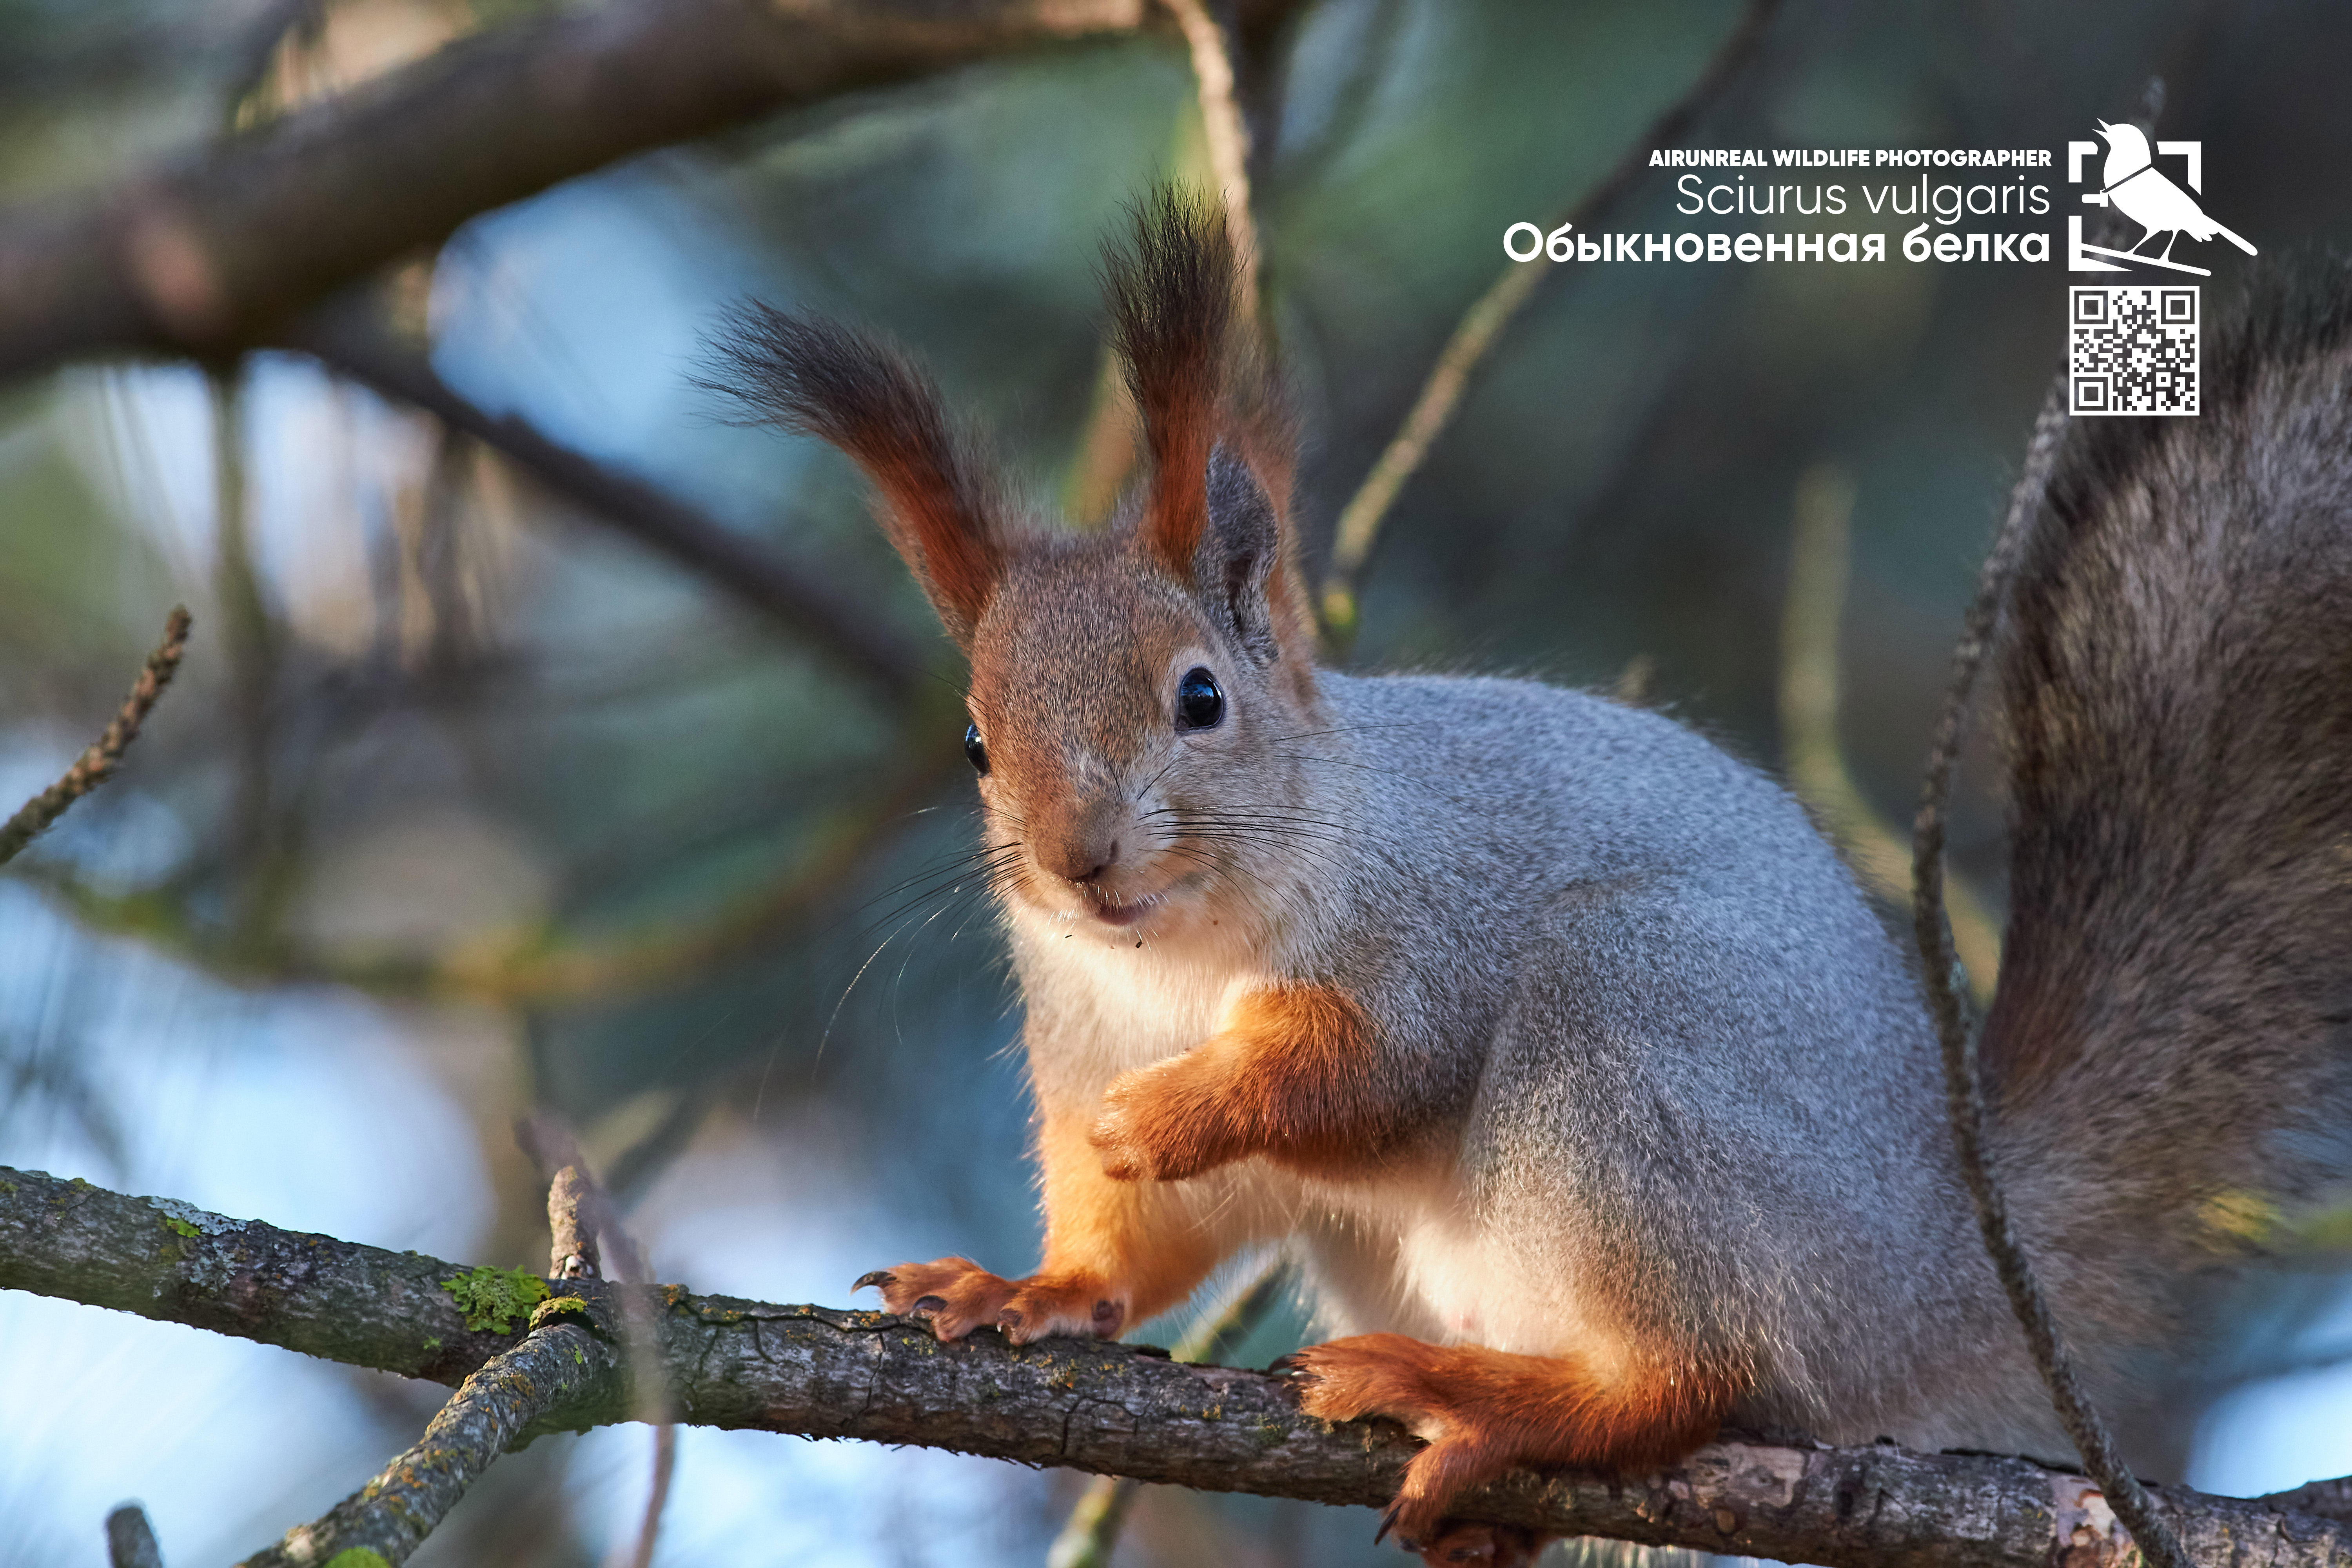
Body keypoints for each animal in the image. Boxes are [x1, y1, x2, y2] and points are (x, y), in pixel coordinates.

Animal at [706, 196, 2352, 1568]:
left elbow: (1357, 1072)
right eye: (977, 743)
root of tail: (1932, 1268)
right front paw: (1029, 1289)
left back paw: (1501, 1403)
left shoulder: (1429, 919)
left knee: (1694, 1375)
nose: (1078, 859)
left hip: (1632, 1039)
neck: (1180, 952)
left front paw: (1167, 1115)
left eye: (1199, 698)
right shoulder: (1078, 1020)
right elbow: (1135, 1241)